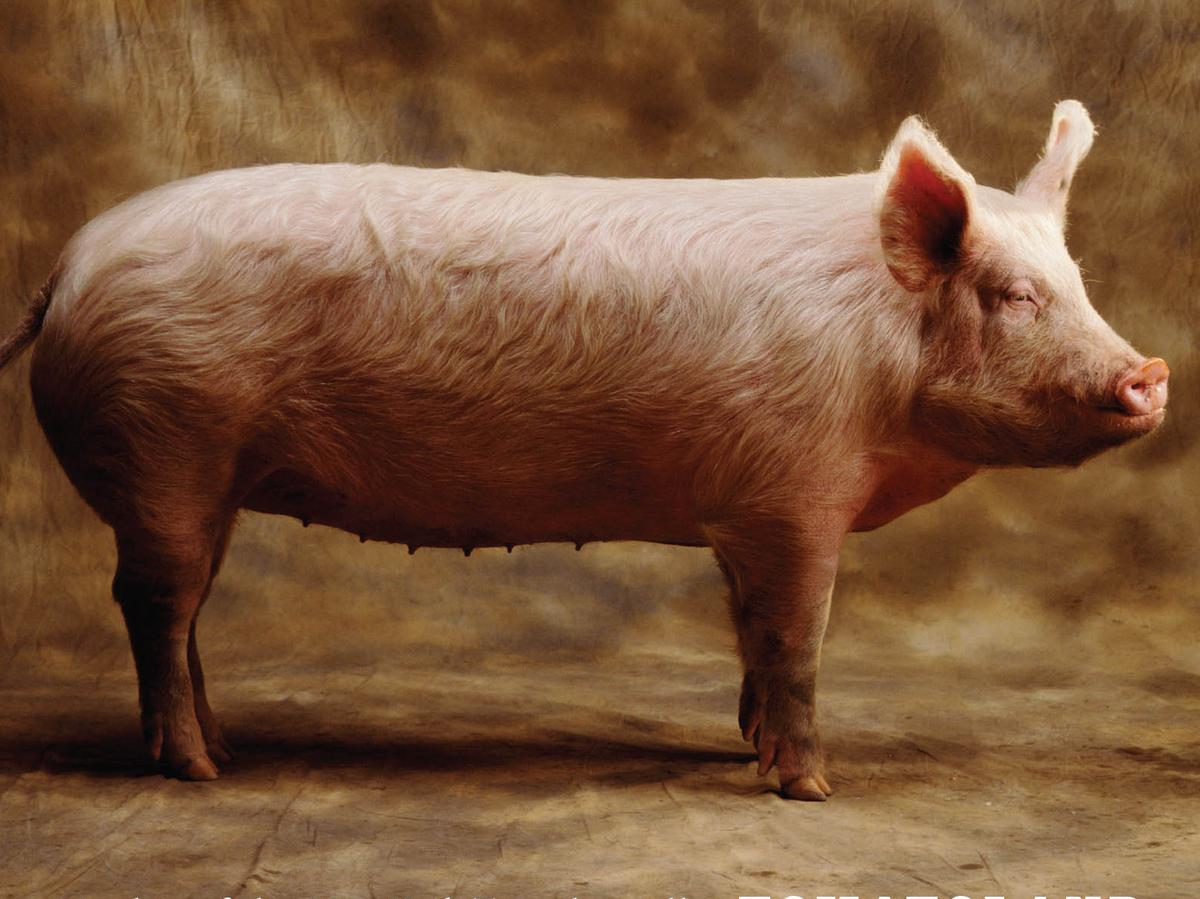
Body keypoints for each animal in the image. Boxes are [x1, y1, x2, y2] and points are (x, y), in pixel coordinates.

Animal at [0, 100, 1168, 800]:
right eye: (1015, 295)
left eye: (1078, 282)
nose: (1152, 371)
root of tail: (66, 268)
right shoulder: (794, 492)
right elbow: (799, 639)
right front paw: (810, 789)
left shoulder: (741, 508)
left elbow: (752, 636)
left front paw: (744, 745)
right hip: (167, 443)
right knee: (155, 603)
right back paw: (199, 772)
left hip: (204, 472)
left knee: (183, 607)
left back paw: (220, 748)